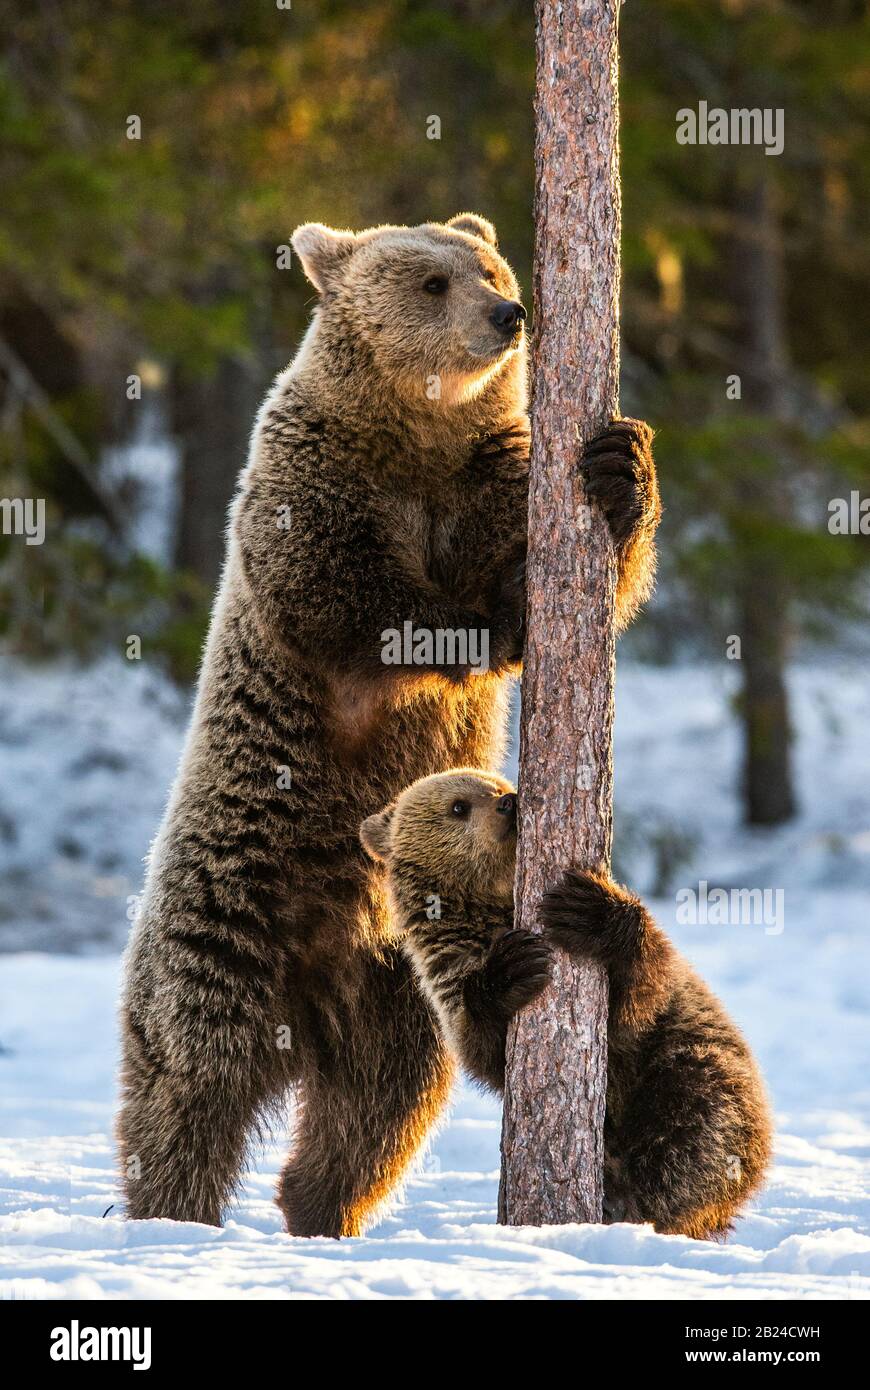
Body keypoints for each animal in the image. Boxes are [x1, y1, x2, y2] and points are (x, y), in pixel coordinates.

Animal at [116, 212, 661, 1237]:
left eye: (489, 266)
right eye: (430, 281)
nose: (509, 313)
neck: (417, 436)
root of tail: (306, 1004)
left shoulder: (495, 481)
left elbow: (584, 576)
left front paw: (619, 470)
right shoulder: (311, 486)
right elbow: (344, 595)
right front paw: (473, 628)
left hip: (397, 988)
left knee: (380, 1110)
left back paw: (319, 1207)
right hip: (222, 921)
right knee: (189, 1085)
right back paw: (171, 1213)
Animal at [360, 768, 773, 1240]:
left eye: (498, 784)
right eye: (458, 806)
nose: (508, 803)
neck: (491, 908)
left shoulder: (655, 1008)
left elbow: (638, 995)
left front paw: (587, 912)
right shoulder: (451, 984)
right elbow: (485, 1045)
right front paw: (513, 966)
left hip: (689, 1059)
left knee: (693, 1119)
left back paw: (630, 1193)